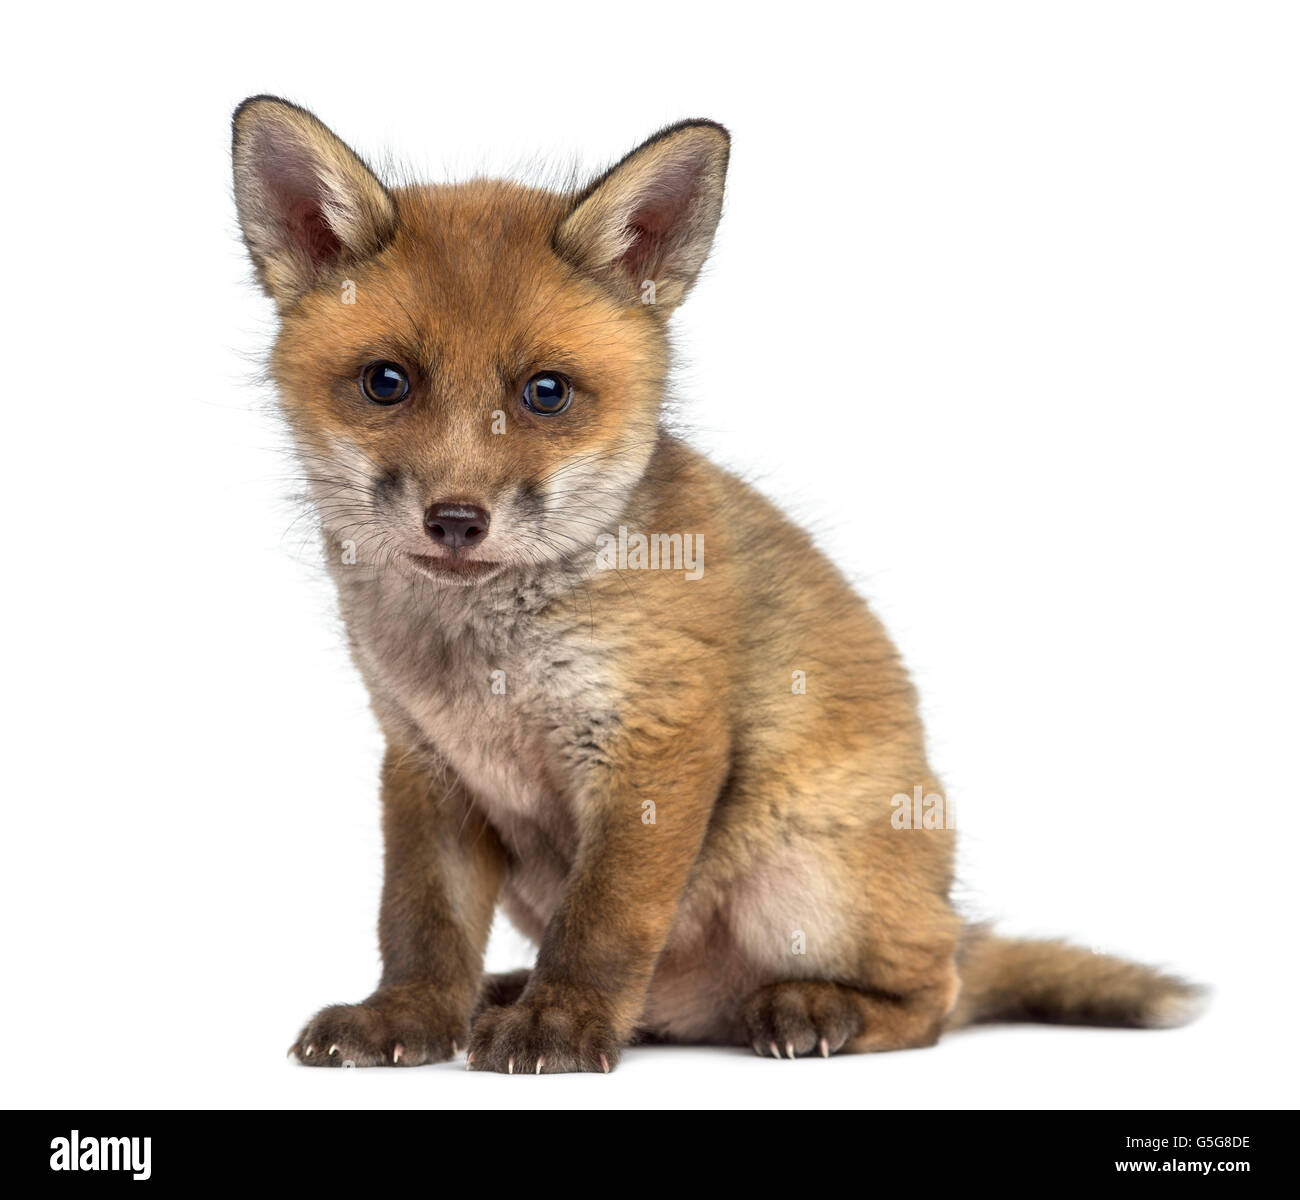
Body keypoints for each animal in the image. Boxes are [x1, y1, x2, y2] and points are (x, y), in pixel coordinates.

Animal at [232, 96, 1204, 1073]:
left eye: (546, 393)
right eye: (386, 382)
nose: (457, 521)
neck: (484, 663)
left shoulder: (657, 742)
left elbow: (605, 921)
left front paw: (562, 1022)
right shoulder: (423, 763)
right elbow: (420, 922)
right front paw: (410, 1016)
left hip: (806, 879)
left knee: (937, 996)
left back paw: (814, 1008)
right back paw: (504, 996)